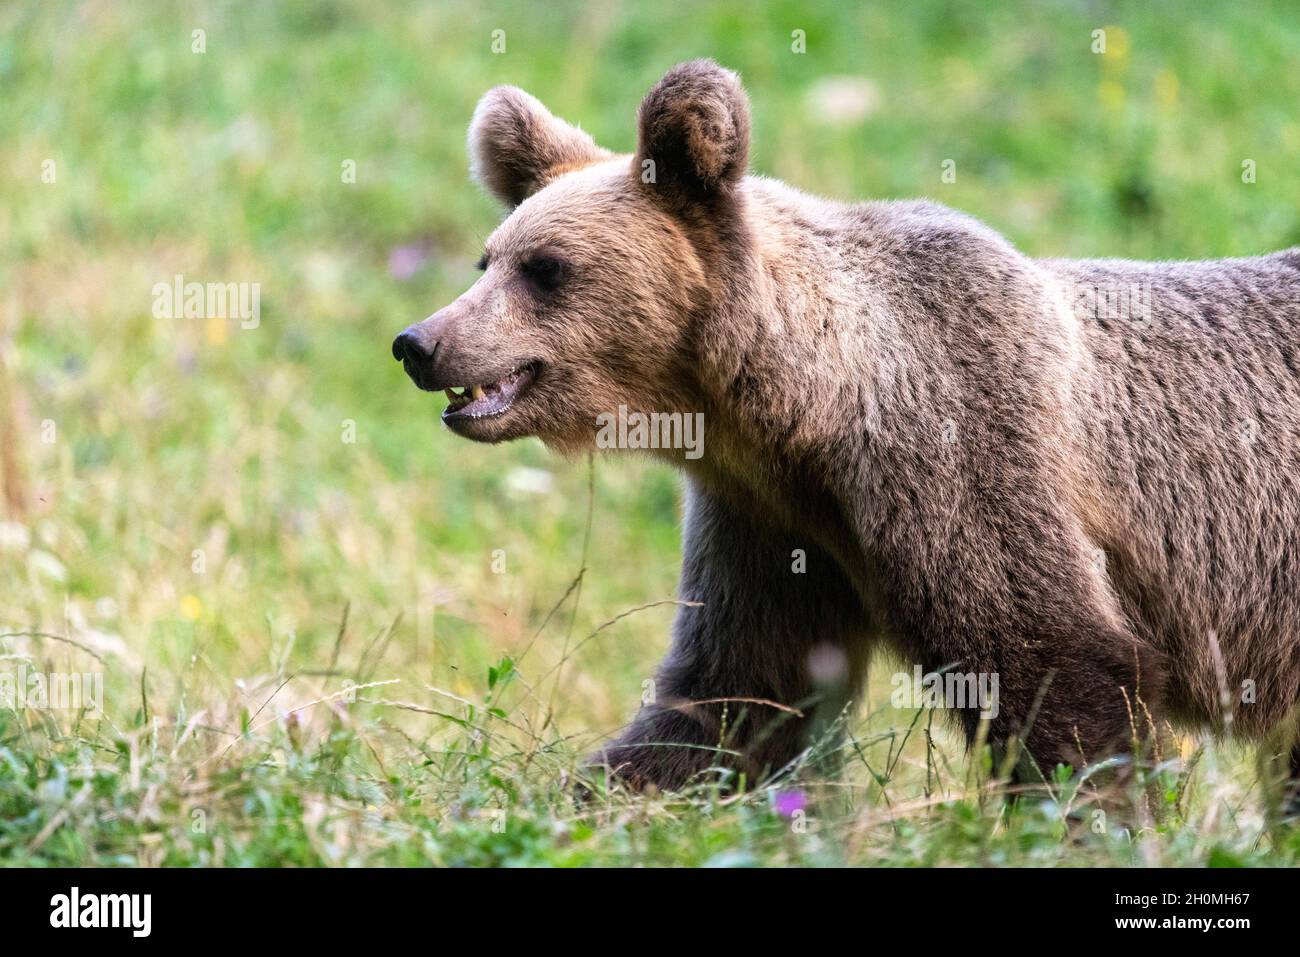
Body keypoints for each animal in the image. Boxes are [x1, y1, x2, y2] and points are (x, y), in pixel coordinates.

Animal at [393, 60, 1300, 799]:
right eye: (487, 259)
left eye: (545, 268)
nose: (420, 343)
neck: (809, 411)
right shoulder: (775, 525)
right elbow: (731, 694)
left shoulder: (967, 451)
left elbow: (1055, 669)